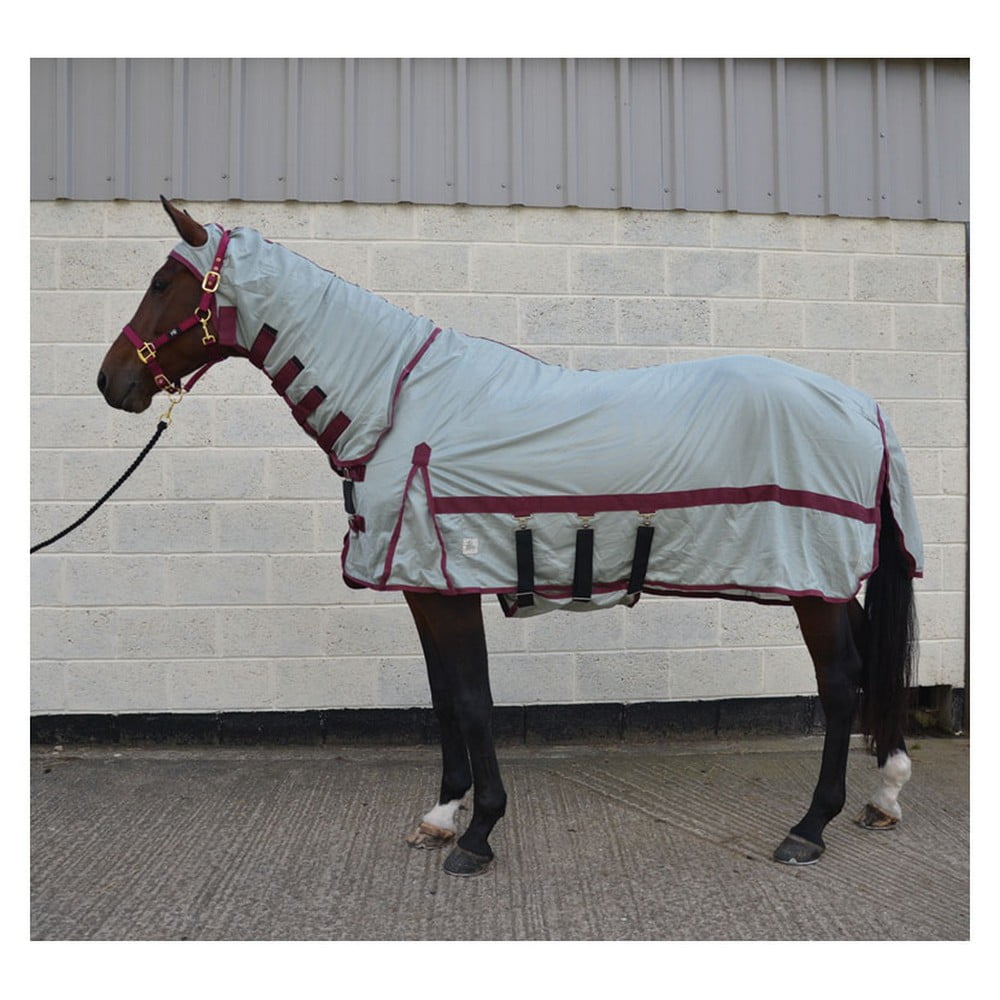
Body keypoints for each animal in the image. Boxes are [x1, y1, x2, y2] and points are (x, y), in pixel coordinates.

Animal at [97, 197, 921, 877]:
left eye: (163, 283)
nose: (110, 383)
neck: (397, 406)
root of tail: (865, 405)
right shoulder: (425, 588)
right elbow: (442, 697)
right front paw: (441, 814)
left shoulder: (449, 587)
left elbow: (471, 698)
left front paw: (477, 833)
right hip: (824, 580)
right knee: (867, 665)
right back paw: (884, 794)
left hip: (812, 580)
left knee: (840, 681)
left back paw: (810, 827)